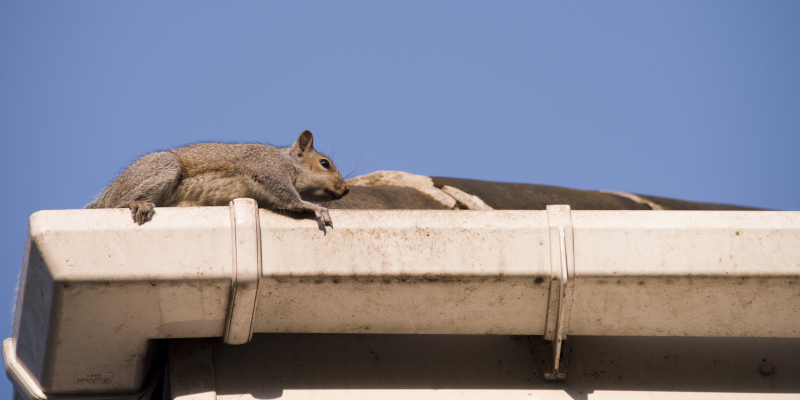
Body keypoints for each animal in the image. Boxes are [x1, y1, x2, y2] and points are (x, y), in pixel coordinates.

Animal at [86, 130, 350, 227]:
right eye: (324, 163)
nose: (346, 190)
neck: (289, 163)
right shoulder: (265, 167)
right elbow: (289, 197)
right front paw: (314, 208)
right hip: (164, 167)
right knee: (117, 204)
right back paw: (137, 203)